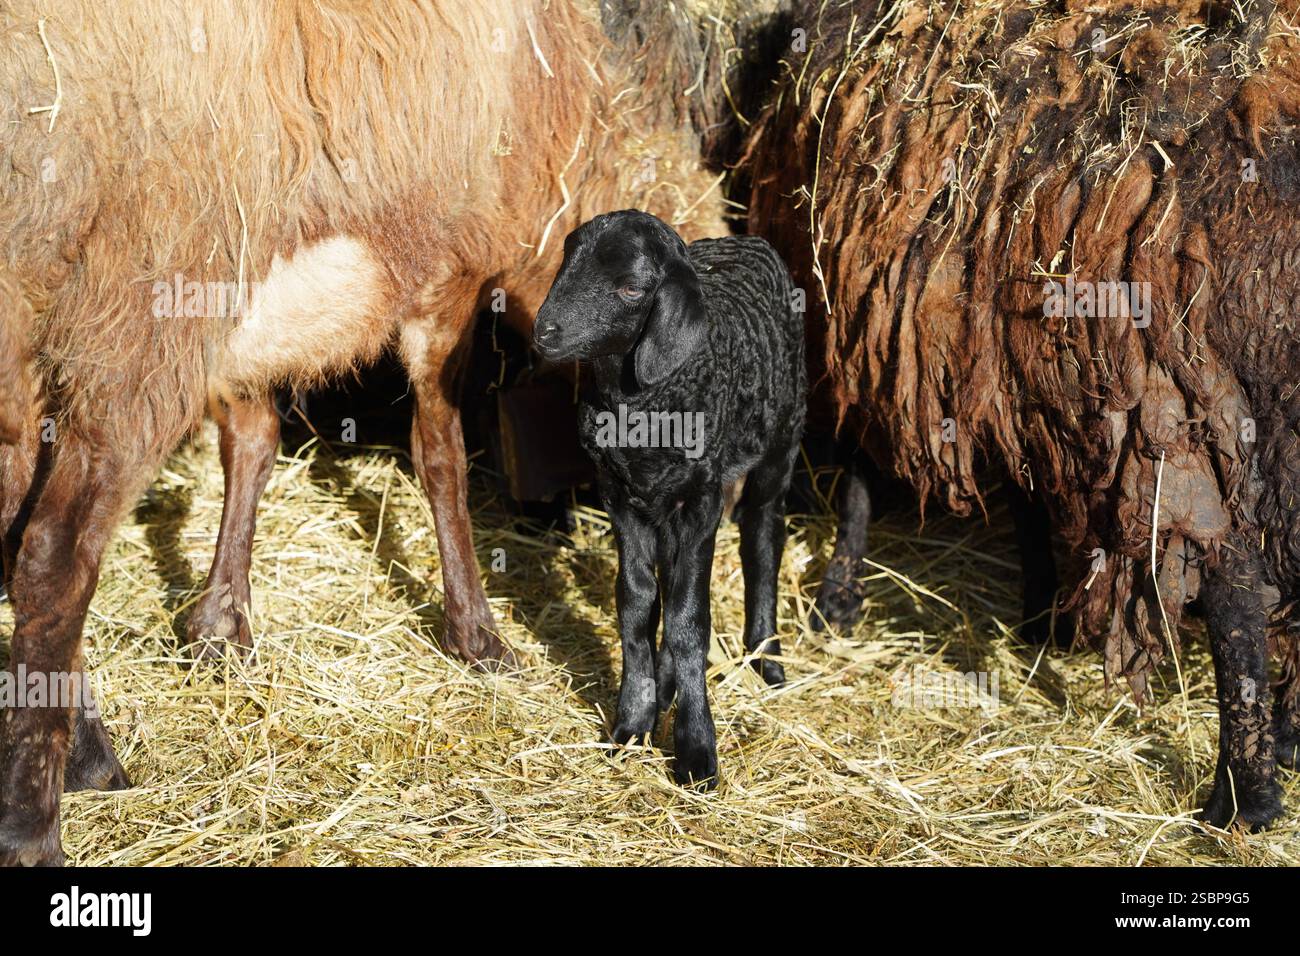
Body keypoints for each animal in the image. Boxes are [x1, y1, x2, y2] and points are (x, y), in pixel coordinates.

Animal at [0, 0, 724, 866]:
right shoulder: (446, 280)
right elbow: (440, 456)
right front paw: (478, 638)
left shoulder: (248, 333)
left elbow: (253, 444)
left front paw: (221, 628)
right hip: (136, 311)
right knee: (54, 556)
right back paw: (42, 815)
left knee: (14, 537)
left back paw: (81, 748)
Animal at [533, 210, 806, 788]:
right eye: (569, 262)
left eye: (632, 288)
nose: (545, 332)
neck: (644, 403)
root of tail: (744, 239)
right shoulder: (620, 496)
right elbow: (638, 605)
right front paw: (633, 722)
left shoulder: (702, 500)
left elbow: (687, 621)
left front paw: (697, 753)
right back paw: (665, 687)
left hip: (782, 436)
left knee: (763, 534)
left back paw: (766, 659)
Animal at [745, 0, 1299, 828]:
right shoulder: (993, 359)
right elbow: (1027, 492)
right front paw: (1044, 617)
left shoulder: (873, 316)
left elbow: (866, 472)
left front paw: (838, 595)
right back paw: (1278, 749)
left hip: (1181, 389)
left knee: (1233, 590)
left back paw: (1244, 793)